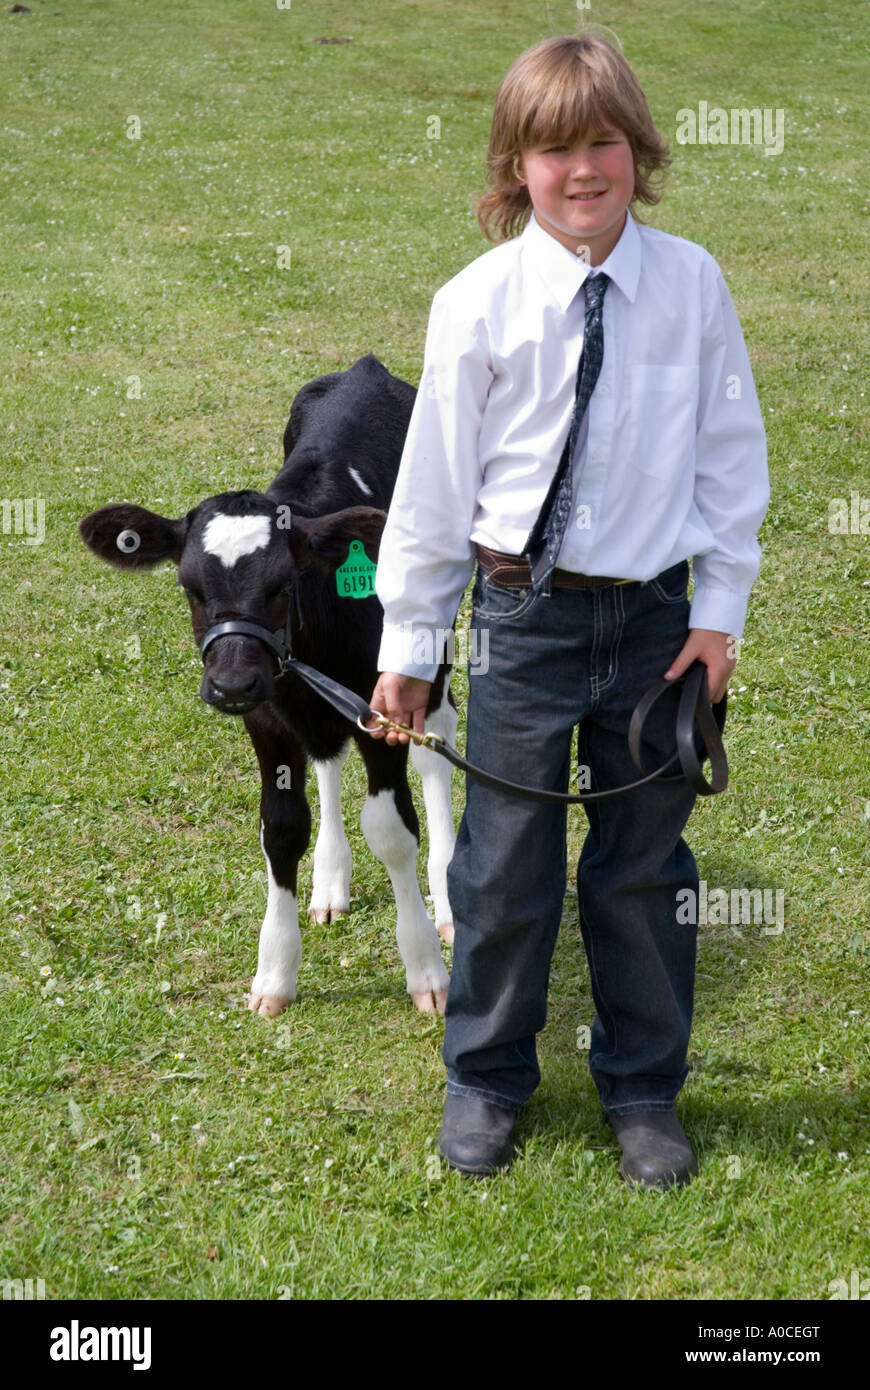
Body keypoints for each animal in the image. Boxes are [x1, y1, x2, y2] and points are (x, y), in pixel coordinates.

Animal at [78, 354, 457, 1018]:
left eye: (283, 584)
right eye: (189, 588)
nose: (230, 682)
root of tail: (368, 368)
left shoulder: (379, 705)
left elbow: (391, 830)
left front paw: (425, 973)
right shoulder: (268, 718)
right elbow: (280, 829)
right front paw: (275, 973)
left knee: (436, 744)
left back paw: (446, 889)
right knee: (328, 755)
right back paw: (330, 880)